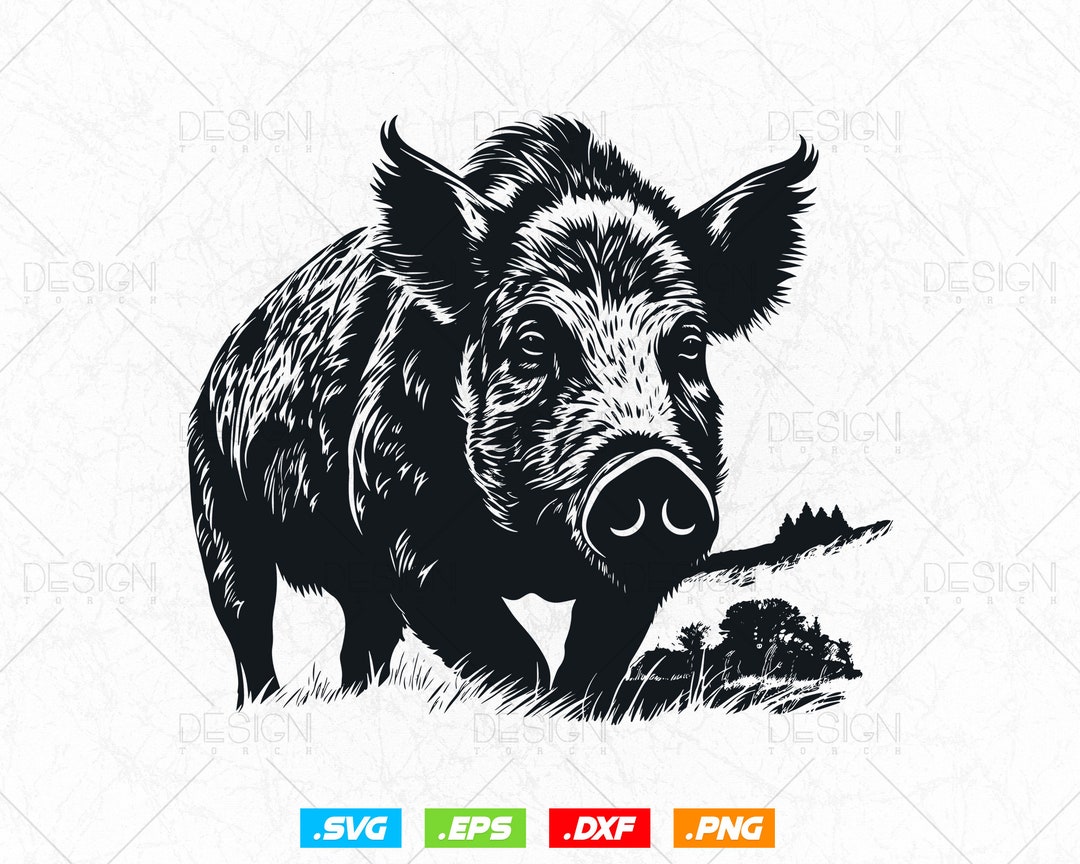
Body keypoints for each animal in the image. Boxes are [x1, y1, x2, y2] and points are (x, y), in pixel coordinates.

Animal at [188, 116, 817, 708]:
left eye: (688, 342)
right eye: (532, 342)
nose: (649, 469)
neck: (532, 557)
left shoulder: (636, 579)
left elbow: (592, 661)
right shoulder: (405, 529)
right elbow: (514, 659)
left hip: (348, 577)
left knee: (362, 638)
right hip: (217, 514)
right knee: (248, 624)